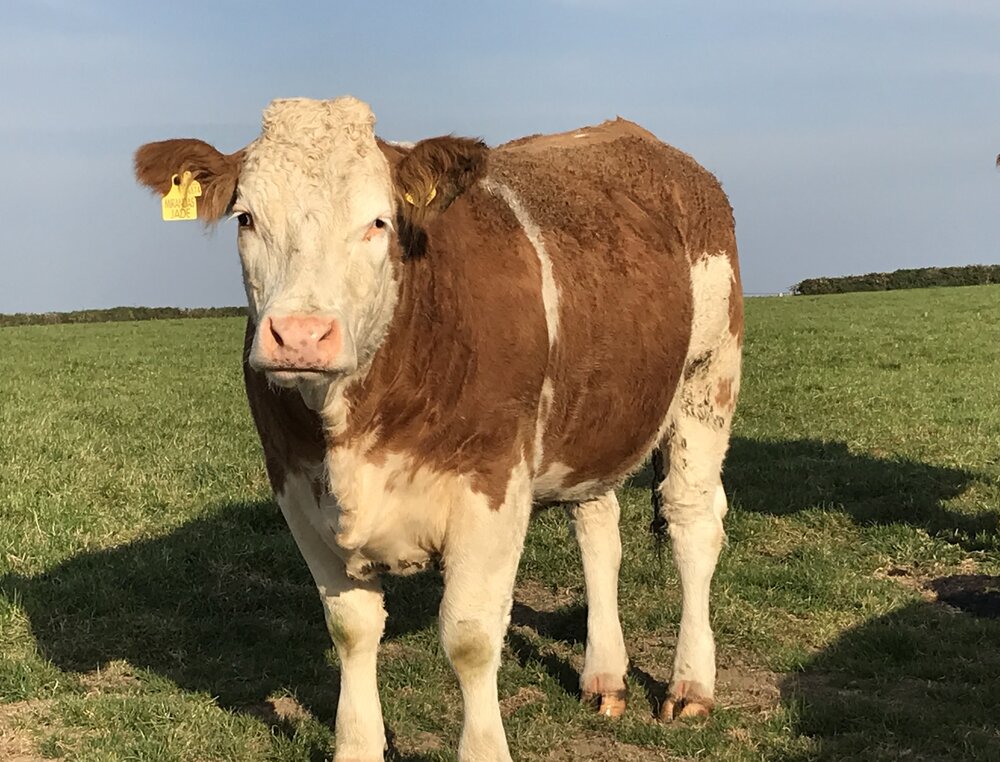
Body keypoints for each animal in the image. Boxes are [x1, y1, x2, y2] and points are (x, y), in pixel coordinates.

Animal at [134, 96, 743, 762]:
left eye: (379, 222)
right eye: (245, 218)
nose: (300, 336)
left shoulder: (493, 486)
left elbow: (470, 638)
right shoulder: (296, 488)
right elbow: (351, 629)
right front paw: (357, 745)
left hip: (708, 377)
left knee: (692, 522)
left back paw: (690, 687)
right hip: (595, 422)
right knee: (598, 530)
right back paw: (604, 677)